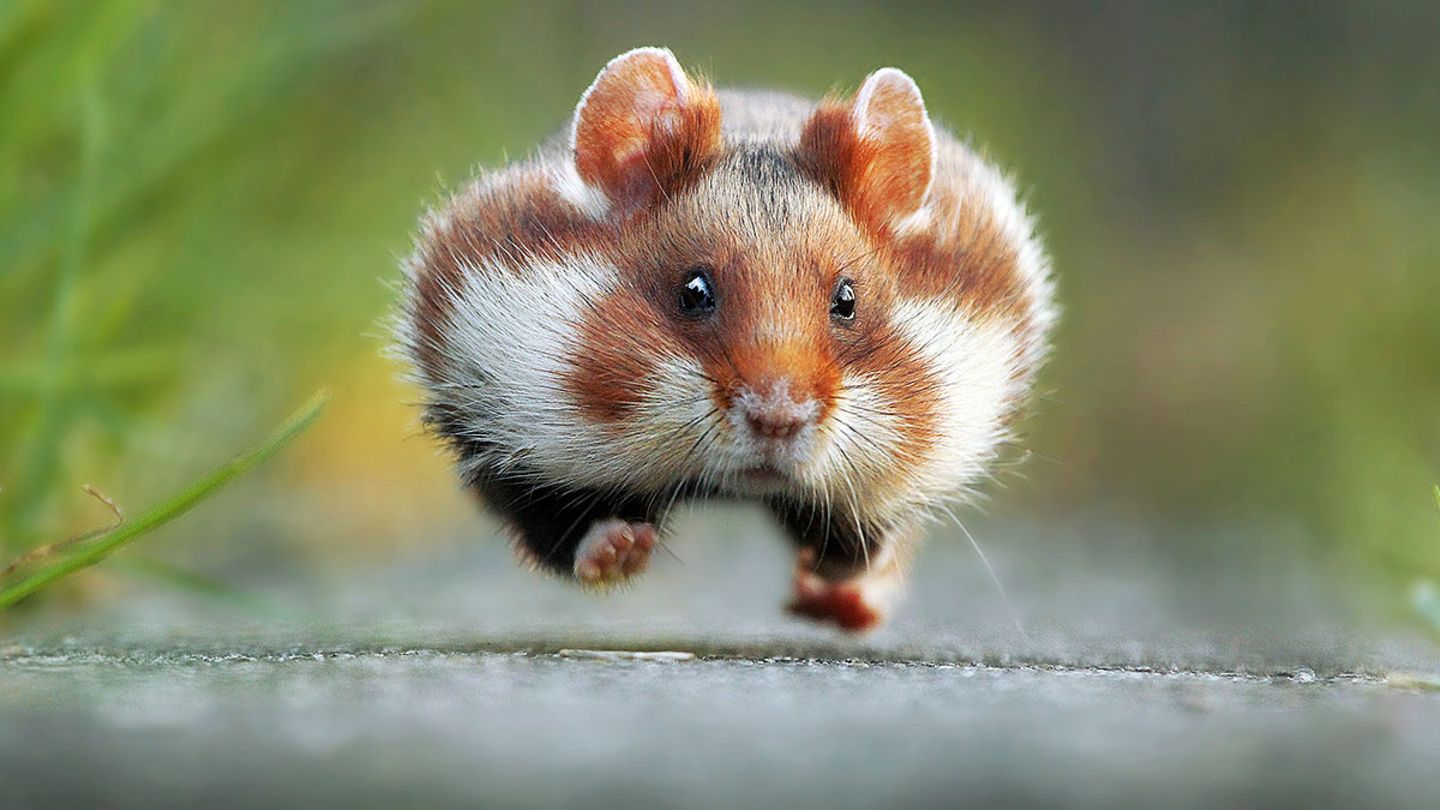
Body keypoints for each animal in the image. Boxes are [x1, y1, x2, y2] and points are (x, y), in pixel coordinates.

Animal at [394, 47, 1056, 632]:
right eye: (694, 291)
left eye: (847, 301)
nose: (778, 419)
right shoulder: (499, 430)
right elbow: (558, 529)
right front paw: (622, 549)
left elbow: (861, 541)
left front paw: (828, 572)